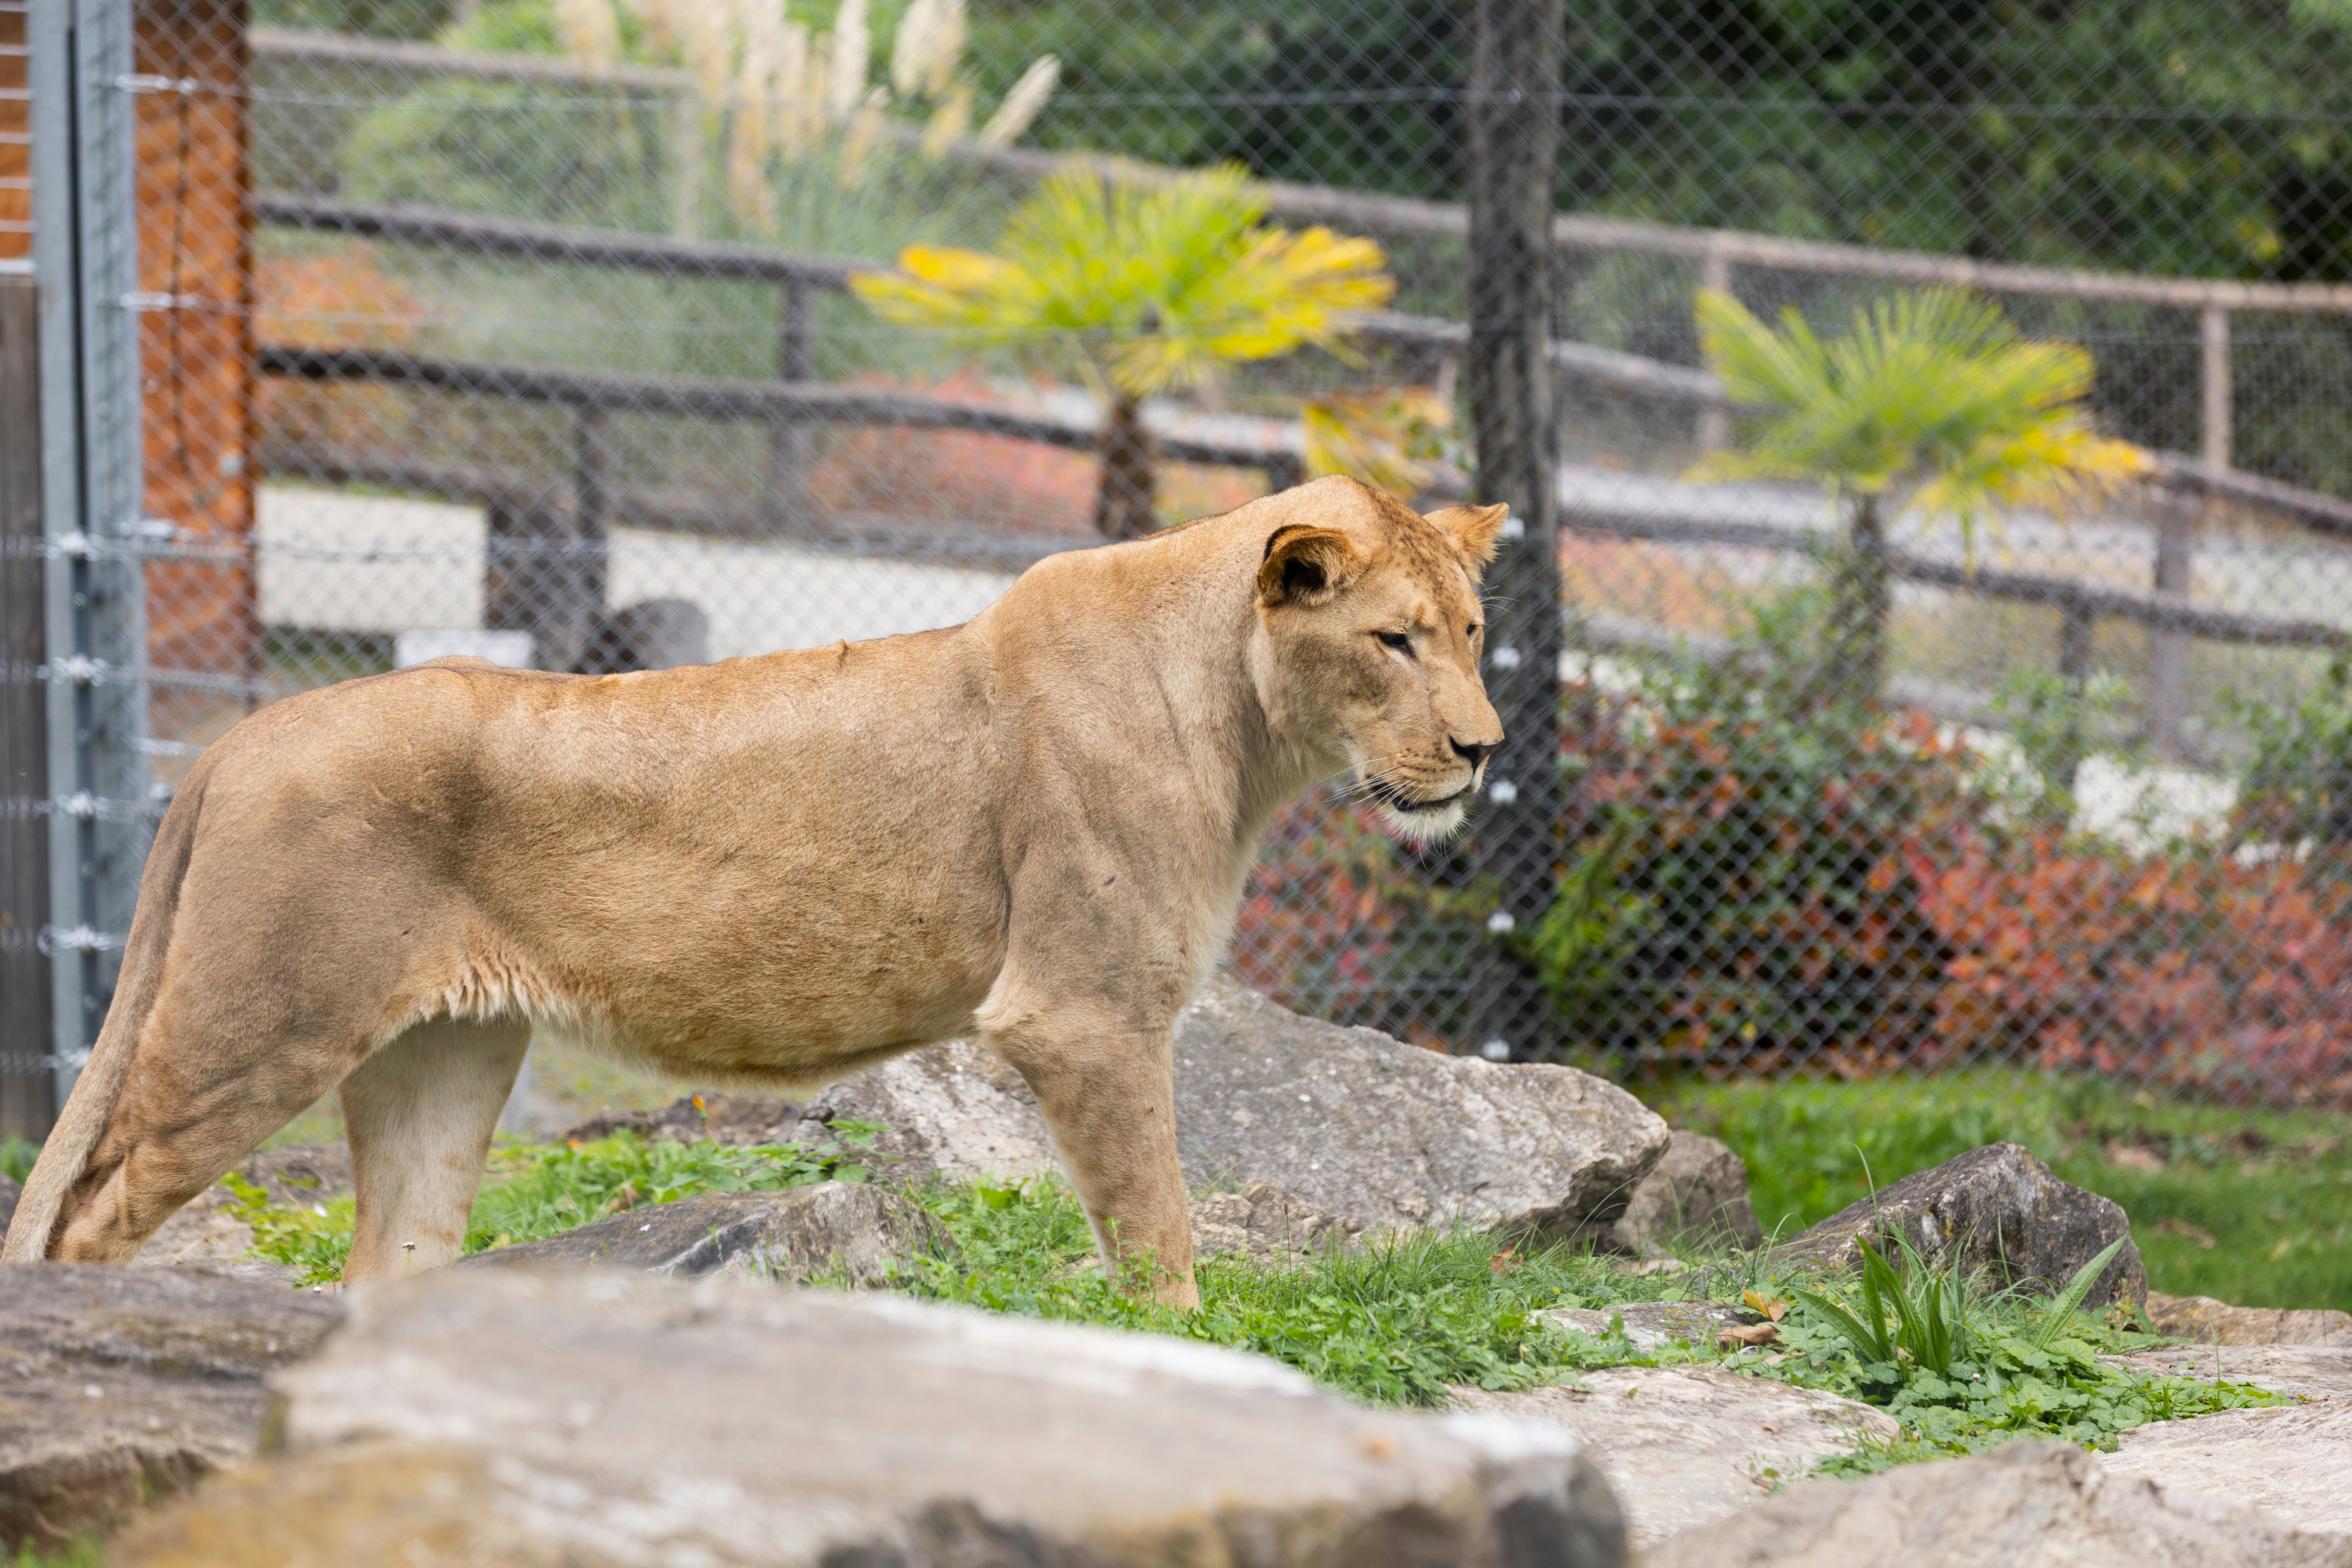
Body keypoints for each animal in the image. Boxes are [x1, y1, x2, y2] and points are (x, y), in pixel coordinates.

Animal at [5, 477, 1507, 1306]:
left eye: (1476, 633)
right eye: (1393, 641)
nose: (1484, 748)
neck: (1243, 723)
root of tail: (243, 736)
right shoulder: (1081, 1012)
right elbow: (1157, 1223)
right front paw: (1187, 1356)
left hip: (444, 1055)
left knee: (389, 1268)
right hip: (256, 1028)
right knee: (81, 1216)